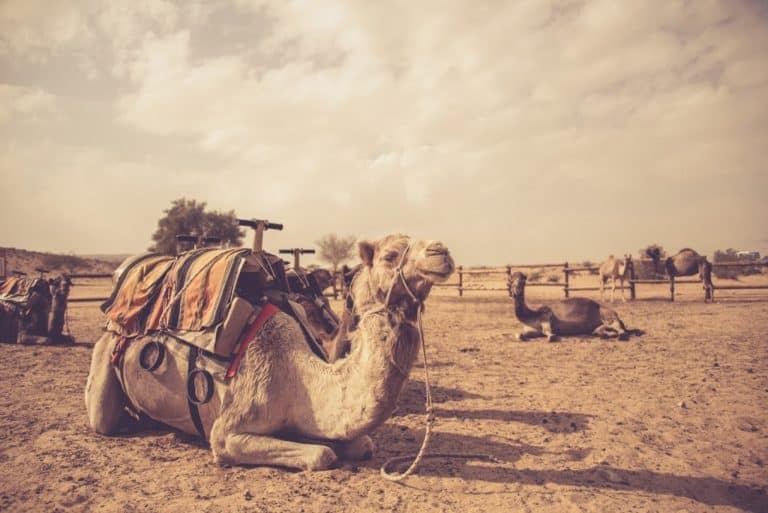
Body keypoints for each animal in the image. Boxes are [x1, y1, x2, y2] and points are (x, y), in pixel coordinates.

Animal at [85, 234, 454, 470]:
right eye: (390, 255)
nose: (442, 251)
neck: (299, 378)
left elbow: (362, 445)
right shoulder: (227, 432)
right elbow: (322, 455)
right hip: (105, 353)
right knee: (102, 418)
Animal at [508, 272, 639, 342]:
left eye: (523, 281)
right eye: (511, 281)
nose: (516, 291)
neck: (532, 316)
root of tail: (615, 313)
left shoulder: (546, 319)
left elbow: (550, 336)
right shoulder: (532, 330)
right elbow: (518, 335)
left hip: (608, 316)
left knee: (622, 331)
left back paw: (616, 335)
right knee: (599, 330)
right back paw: (605, 334)